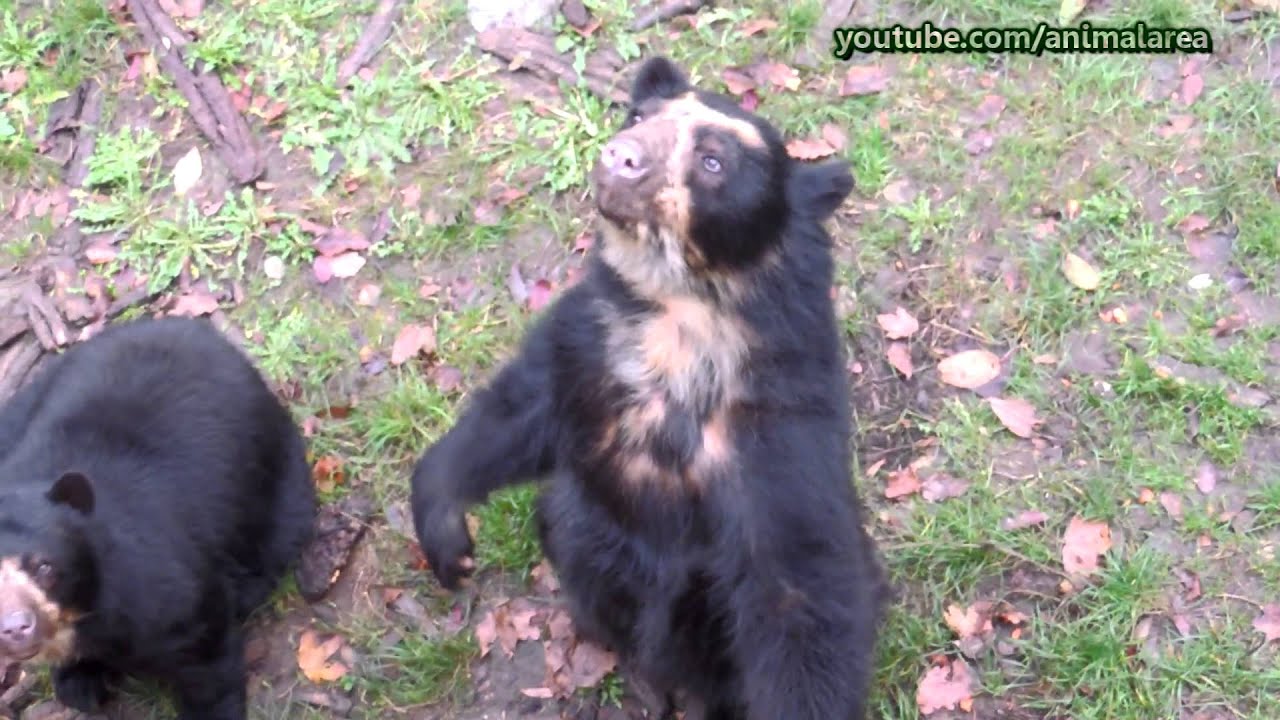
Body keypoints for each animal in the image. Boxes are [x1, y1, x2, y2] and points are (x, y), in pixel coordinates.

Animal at [0, 315, 316, 720]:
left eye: (45, 566)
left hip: (281, 499)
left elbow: (203, 648)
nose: (16, 628)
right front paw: (79, 679)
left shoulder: (159, 587)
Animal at [409, 56, 888, 720]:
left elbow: (800, 586)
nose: (620, 156)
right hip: (585, 530)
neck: (679, 317)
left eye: (712, 161)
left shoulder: (777, 423)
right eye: (637, 116)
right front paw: (448, 542)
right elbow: (517, 410)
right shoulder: (590, 344)